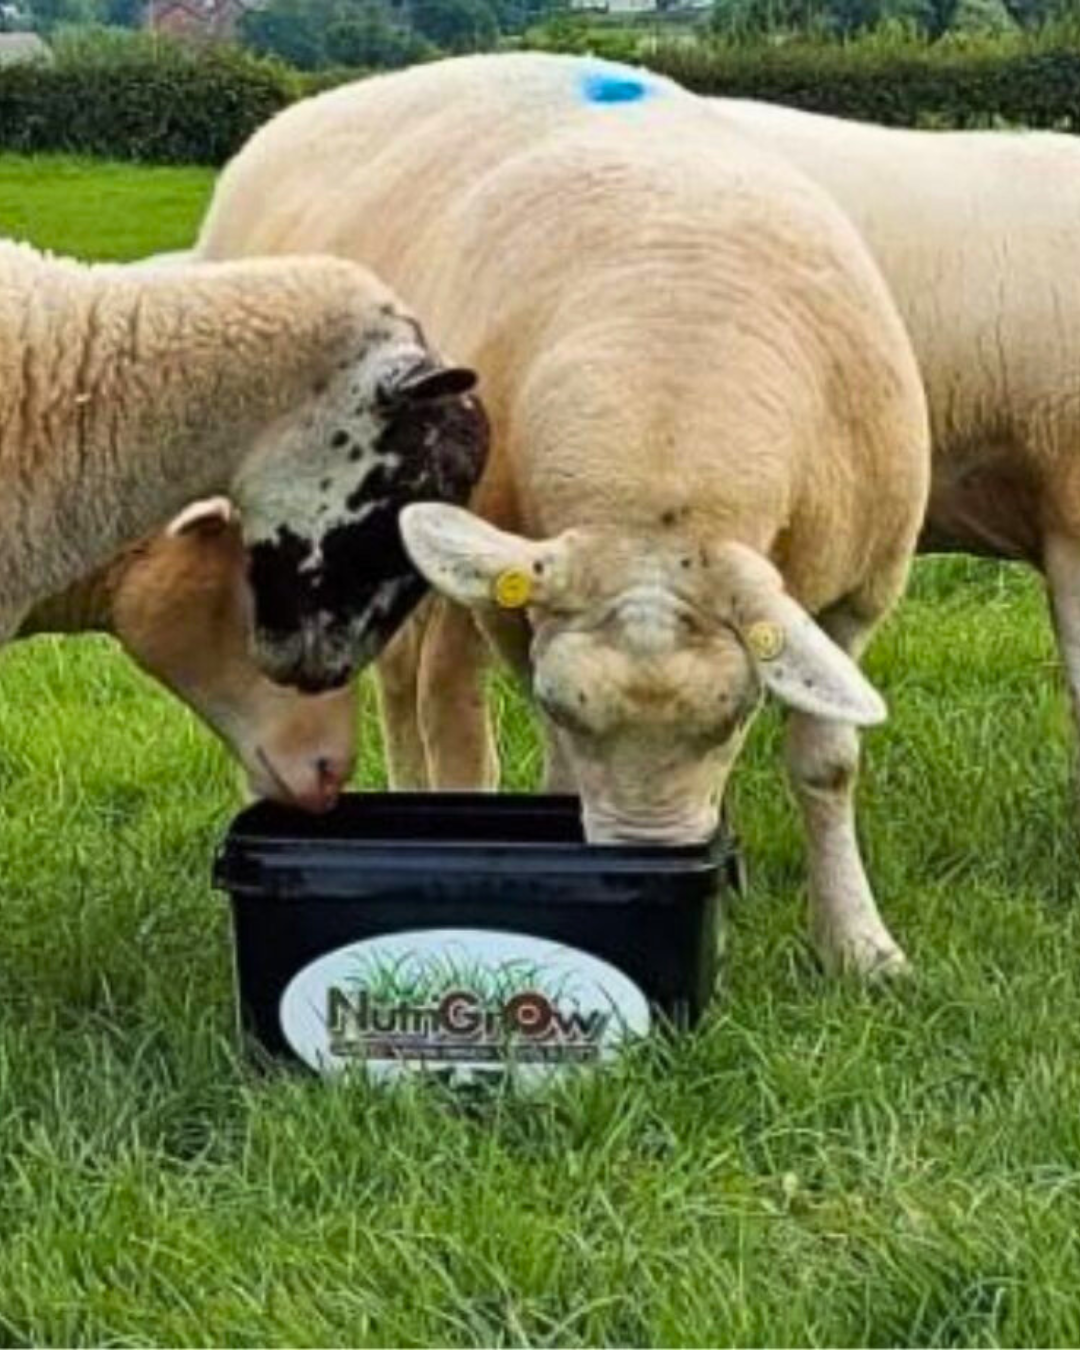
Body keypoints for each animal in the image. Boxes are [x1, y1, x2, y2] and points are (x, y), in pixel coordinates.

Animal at [197, 52, 930, 974]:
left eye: (737, 717)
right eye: (558, 705)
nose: (653, 861)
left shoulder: (855, 602)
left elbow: (828, 767)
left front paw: (859, 946)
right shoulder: (517, 619)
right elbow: (558, 776)